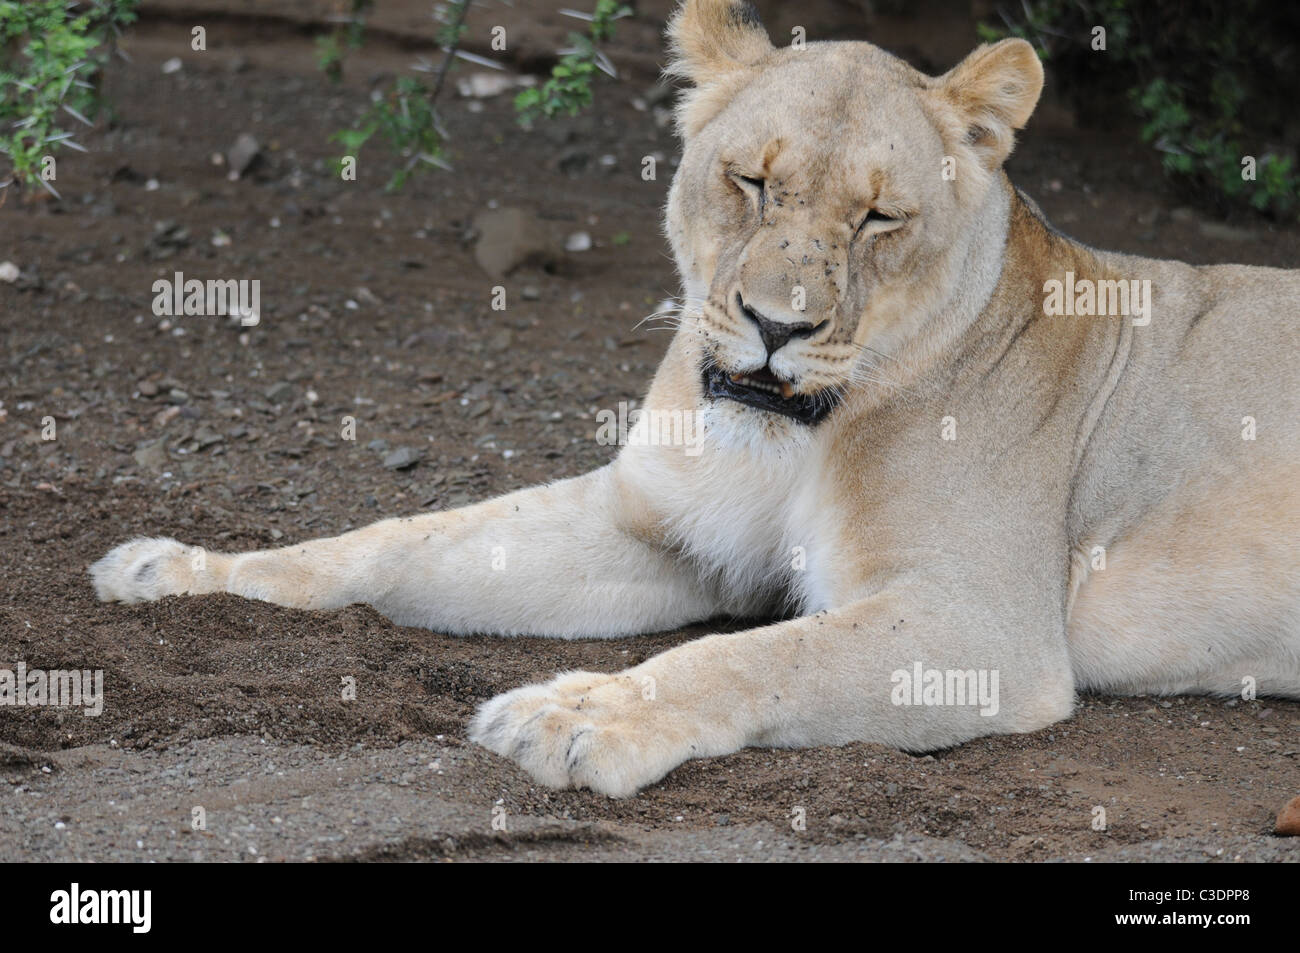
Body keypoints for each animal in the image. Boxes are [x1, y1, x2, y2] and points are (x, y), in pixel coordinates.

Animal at [91, 0, 1300, 797]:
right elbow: (391, 541)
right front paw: (181, 571)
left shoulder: (983, 623)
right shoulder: (659, 529)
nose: (777, 326)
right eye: (752, 180)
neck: (794, 436)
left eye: (878, 217)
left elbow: (752, 654)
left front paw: (577, 713)